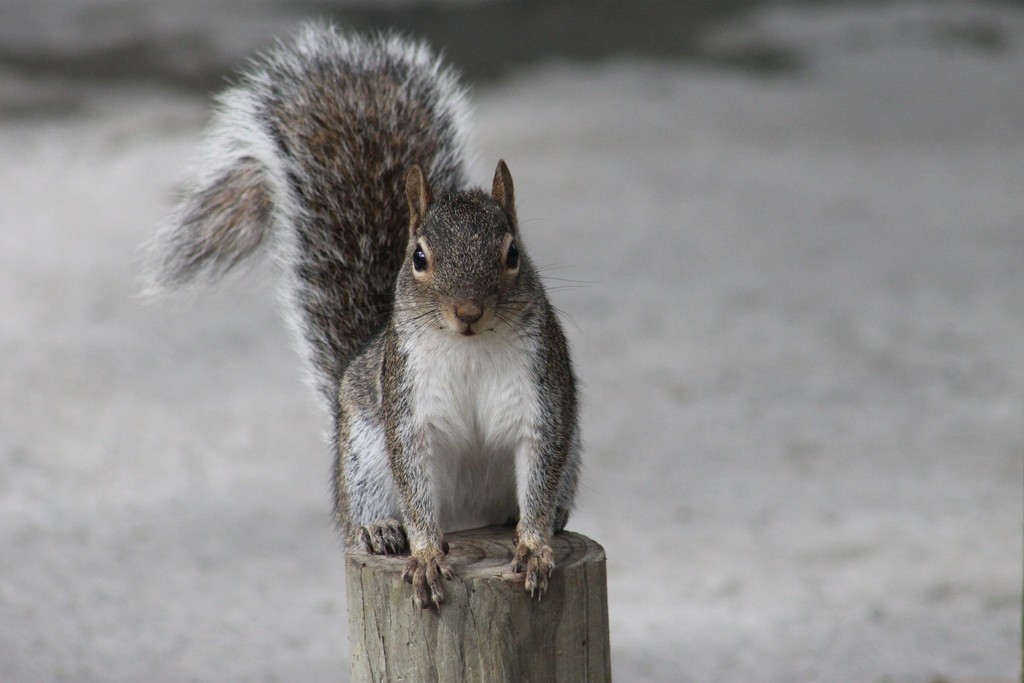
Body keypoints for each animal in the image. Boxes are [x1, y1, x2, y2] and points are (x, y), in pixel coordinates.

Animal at [148, 25, 581, 609]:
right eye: (418, 257)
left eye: (513, 253)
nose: (468, 312)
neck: (468, 347)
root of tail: (469, 522)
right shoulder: (407, 407)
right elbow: (415, 483)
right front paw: (425, 555)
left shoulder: (542, 397)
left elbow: (538, 469)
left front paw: (534, 546)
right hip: (362, 453)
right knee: (365, 508)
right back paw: (380, 530)